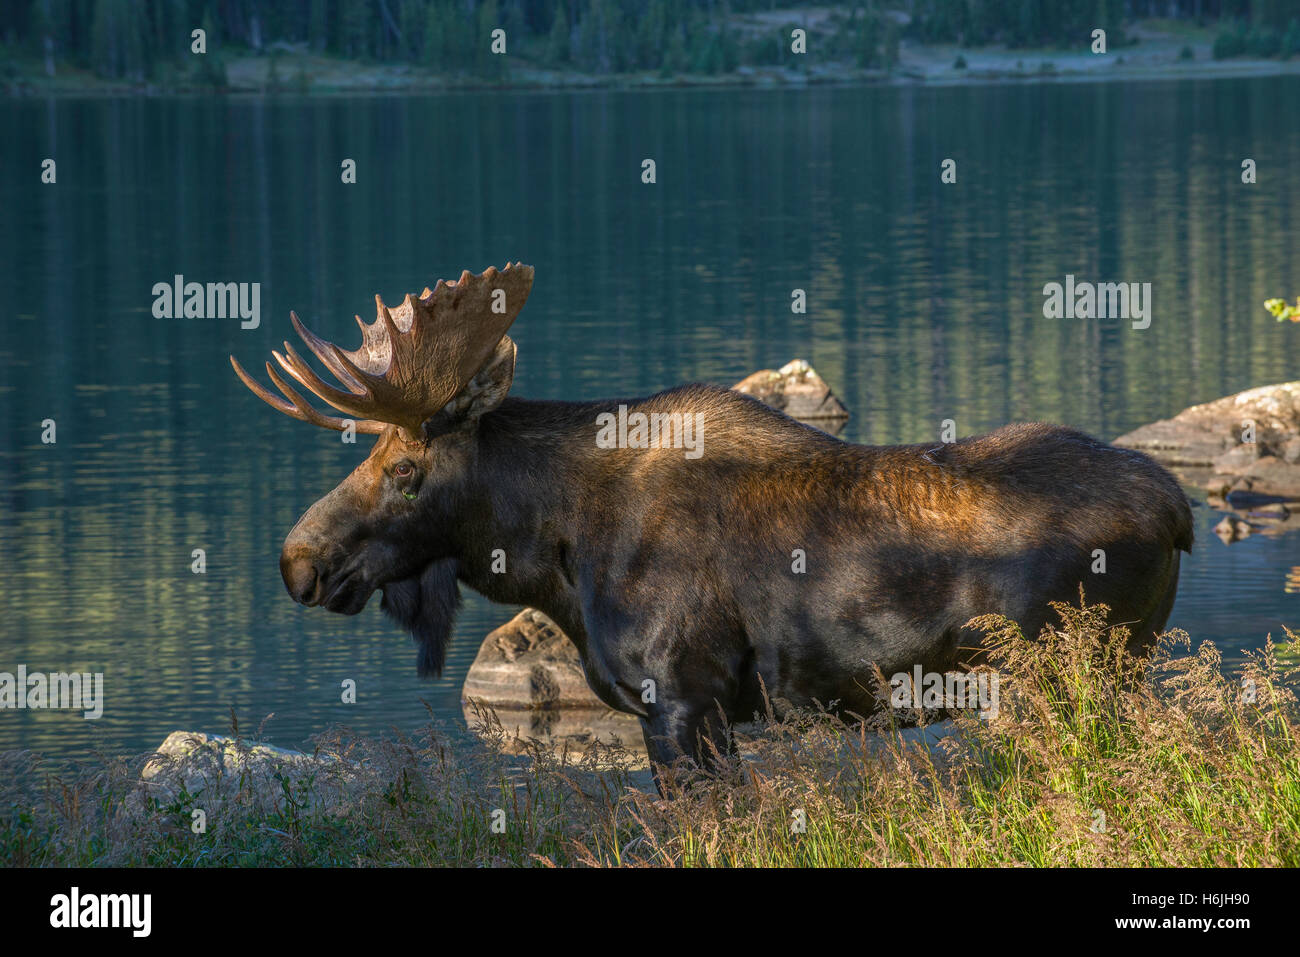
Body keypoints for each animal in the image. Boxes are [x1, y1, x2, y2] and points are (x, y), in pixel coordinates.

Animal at [231, 263, 1193, 791]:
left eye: (403, 469)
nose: (298, 560)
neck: (554, 549)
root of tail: (1182, 509)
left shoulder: (683, 698)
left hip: (1078, 671)